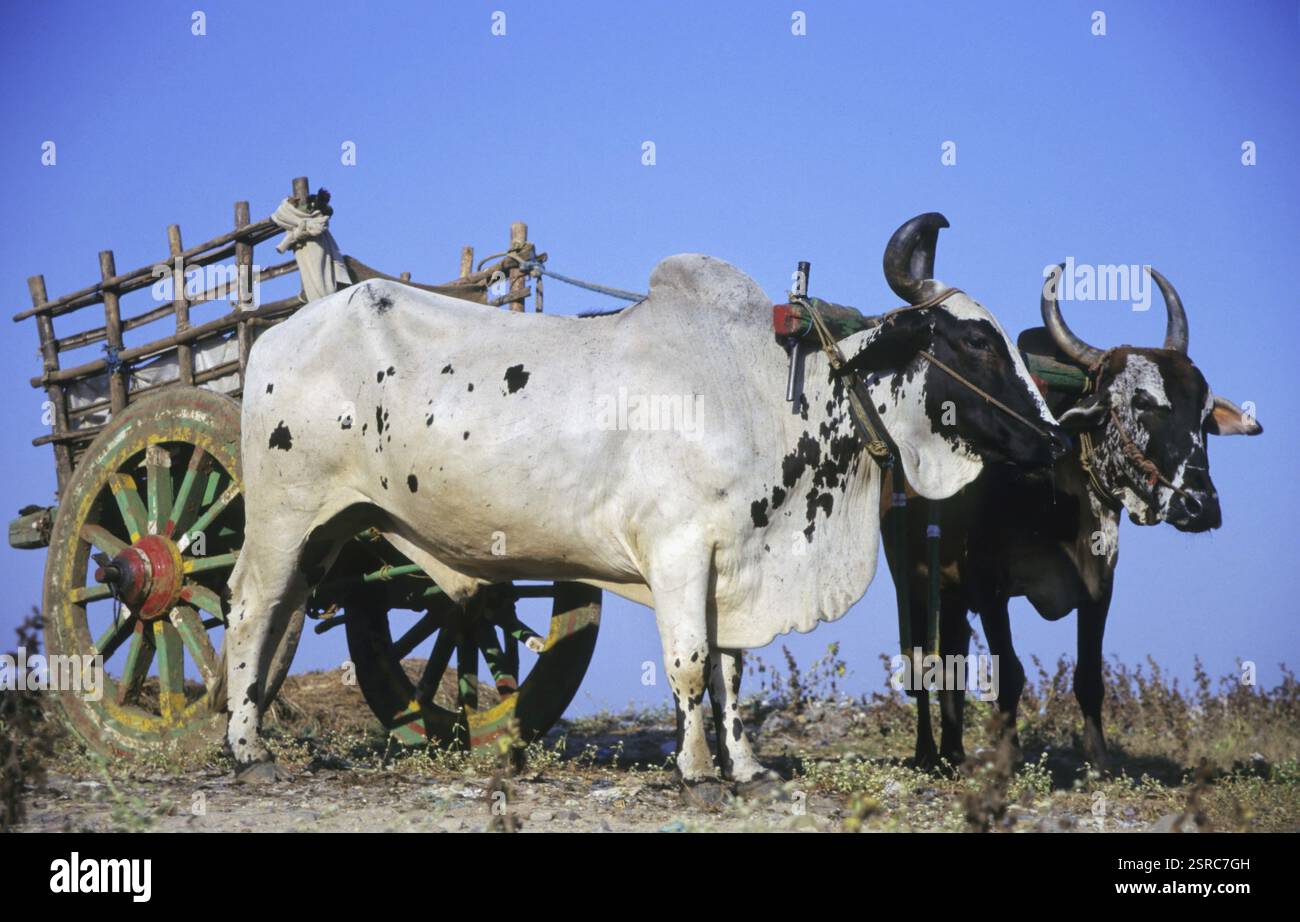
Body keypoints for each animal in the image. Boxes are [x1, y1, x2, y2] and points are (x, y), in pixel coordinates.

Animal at [222, 213, 1066, 802]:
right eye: (975, 343)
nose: (1058, 441)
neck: (768, 391)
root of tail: (278, 335)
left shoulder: (732, 562)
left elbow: (732, 671)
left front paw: (747, 767)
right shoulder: (679, 551)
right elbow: (691, 665)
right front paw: (695, 771)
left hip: (330, 528)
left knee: (283, 612)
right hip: (282, 517)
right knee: (250, 610)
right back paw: (247, 750)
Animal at [882, 263, 1262, 773]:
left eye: (1204, 414)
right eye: (1141, 401)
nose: (1200, 505)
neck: (1058, 496)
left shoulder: (1099, 586)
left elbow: (1089, 677)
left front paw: (1098, 761)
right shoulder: (990, 586)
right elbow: (1009, 673)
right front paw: (1008, 759)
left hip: (953, 594)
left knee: (953, 657)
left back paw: (955, 750)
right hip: (911, 579)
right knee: (922, 661)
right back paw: (927, 752)